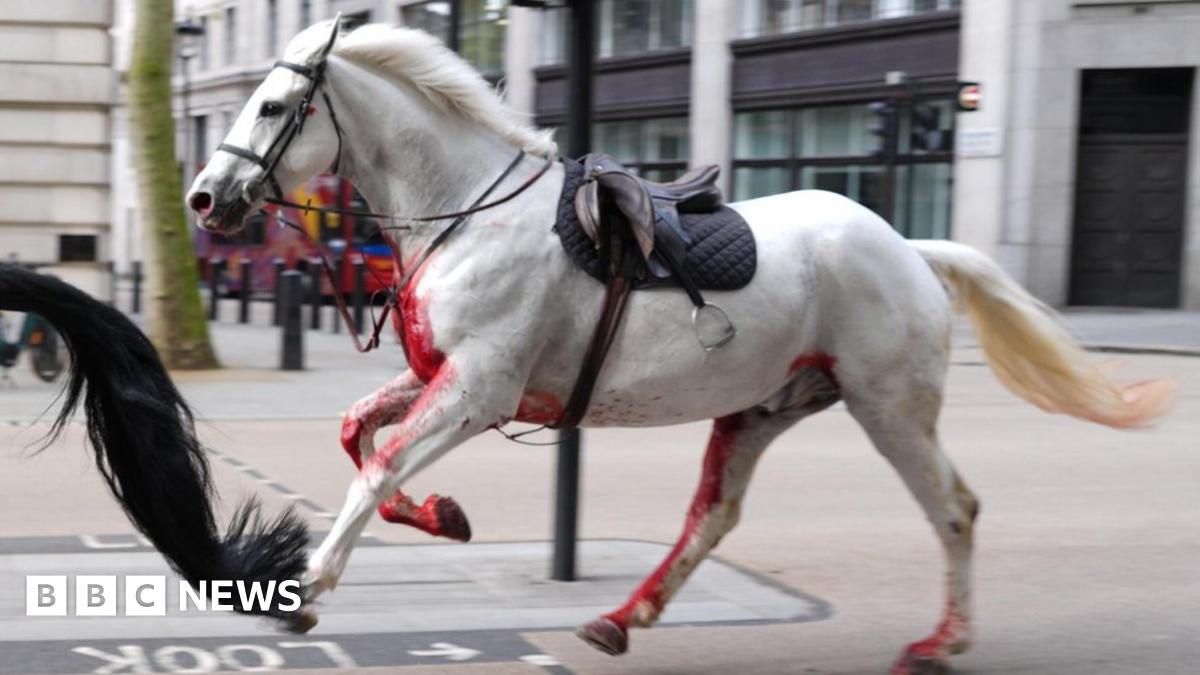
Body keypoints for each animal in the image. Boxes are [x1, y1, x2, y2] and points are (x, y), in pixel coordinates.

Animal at [27, 17, 1162, 675]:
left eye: (272, 105)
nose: (203, 200)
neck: (464, 212)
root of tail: (909, 246)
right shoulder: (444, 378)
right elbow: (359, 436)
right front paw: (440, 515)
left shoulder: (477, 391)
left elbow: (375, 465)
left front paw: (308, 591)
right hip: (763, 407)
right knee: (715, 515)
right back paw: (624, 615)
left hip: (890, 406)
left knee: (955, 509)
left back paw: (941, 639)